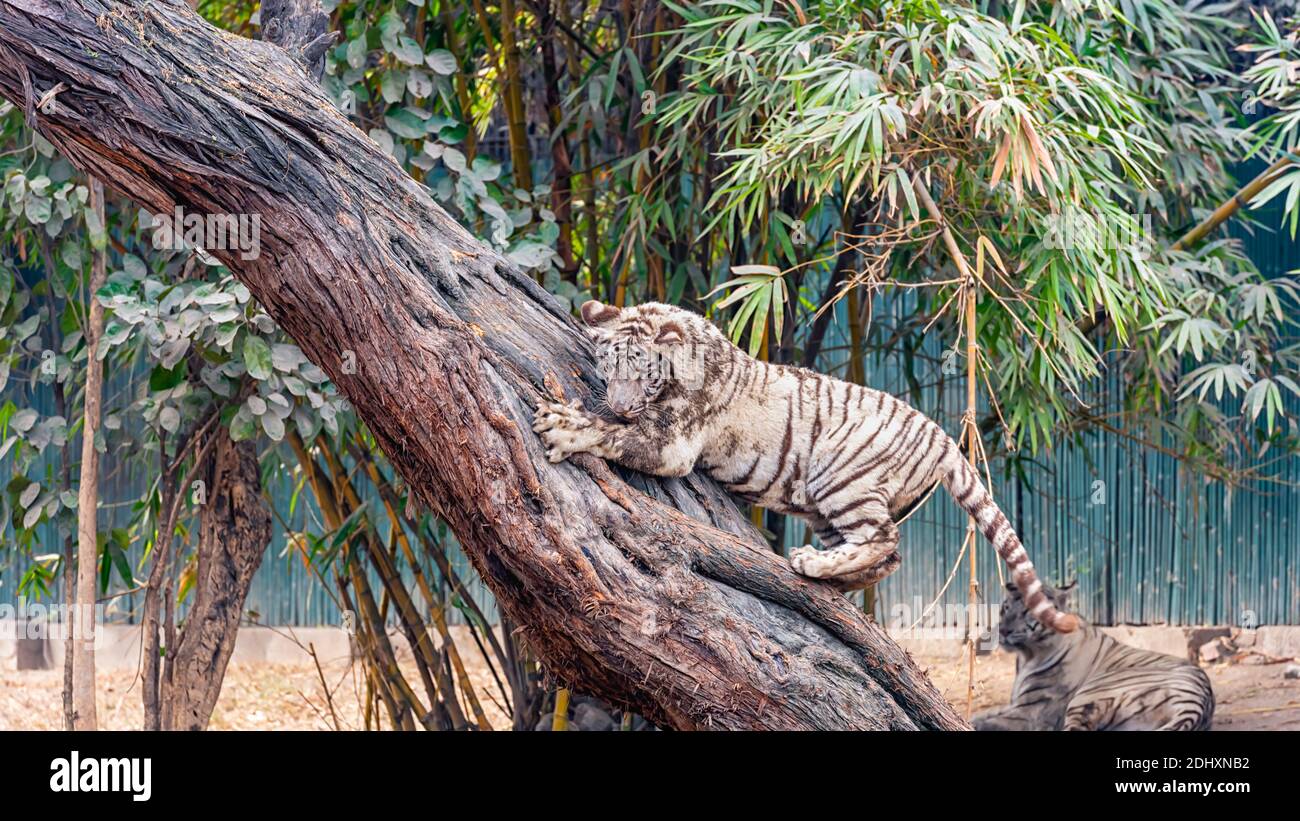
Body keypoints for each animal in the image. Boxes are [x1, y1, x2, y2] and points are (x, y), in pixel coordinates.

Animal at [532, 300, 1079, 632]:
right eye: (608, 369)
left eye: (643, 374)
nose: (622, 405)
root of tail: (942, 436)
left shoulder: (674, 442)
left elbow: (614, 436)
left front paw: (563, 426)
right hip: (827, 504)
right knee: (887, 556)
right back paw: (832, 575)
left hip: (841, 478)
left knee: (885, 539)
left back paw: (813, 564)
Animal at [973, 582, 1214, 730]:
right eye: (1005, 608)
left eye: (1028, 612)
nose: (1004, 631)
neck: (1027, 656)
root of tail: (1196, 704)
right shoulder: (1015, 704)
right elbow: (983, 715)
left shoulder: (1030, 711)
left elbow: (985, 723)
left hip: (1088, 694)